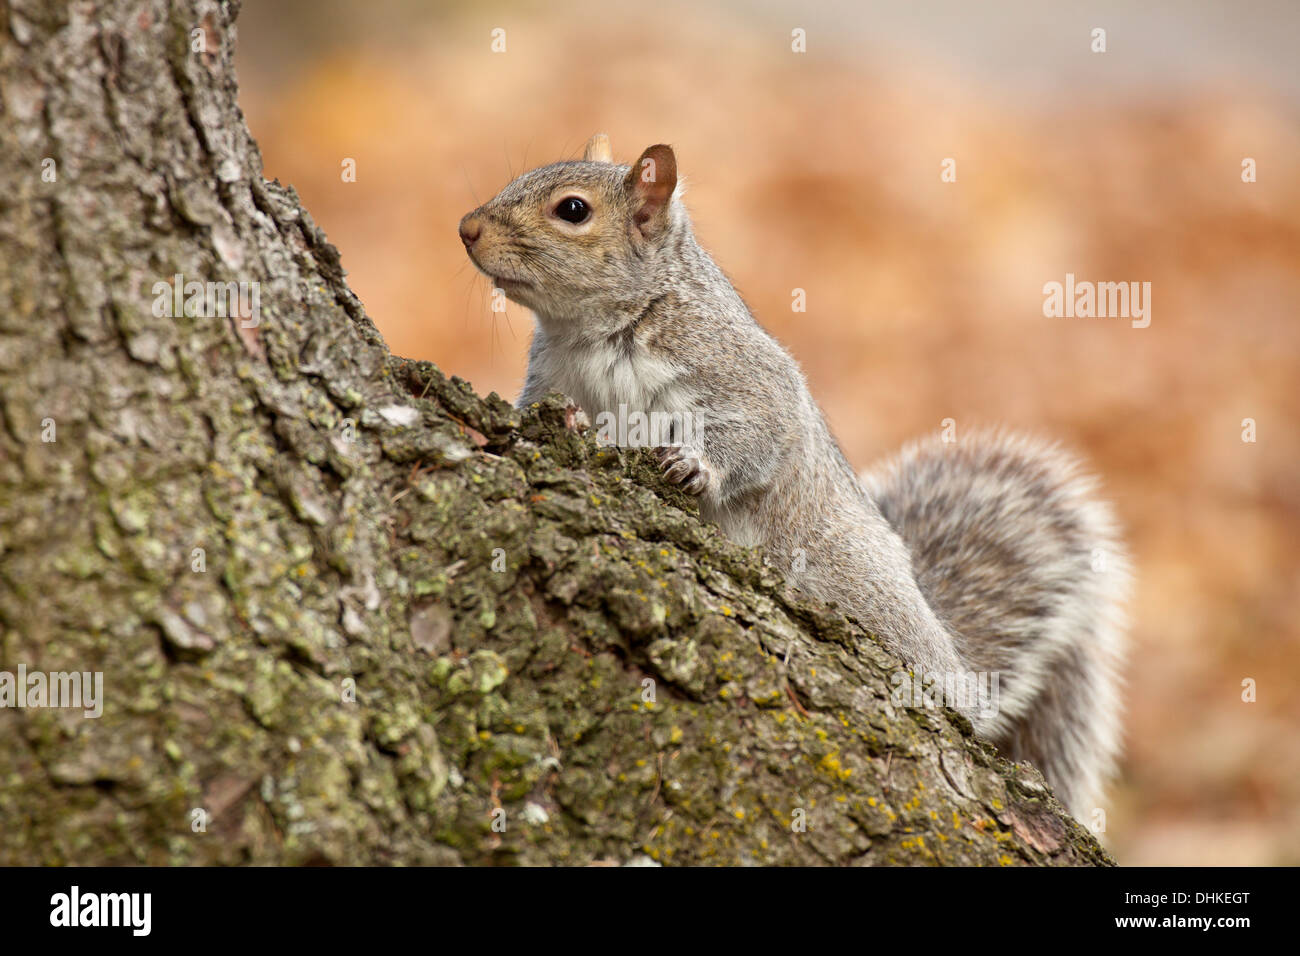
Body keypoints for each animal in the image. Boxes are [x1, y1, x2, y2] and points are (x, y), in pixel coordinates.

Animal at [457, 134, 1129, 820]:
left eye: (573, 210)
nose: (467, 228)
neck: (592, 333)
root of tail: (958, 664)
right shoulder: (552, 372)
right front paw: (560, 421)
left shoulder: (737, 370)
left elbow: (762, 429)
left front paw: (696, 466)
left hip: (852, 581)